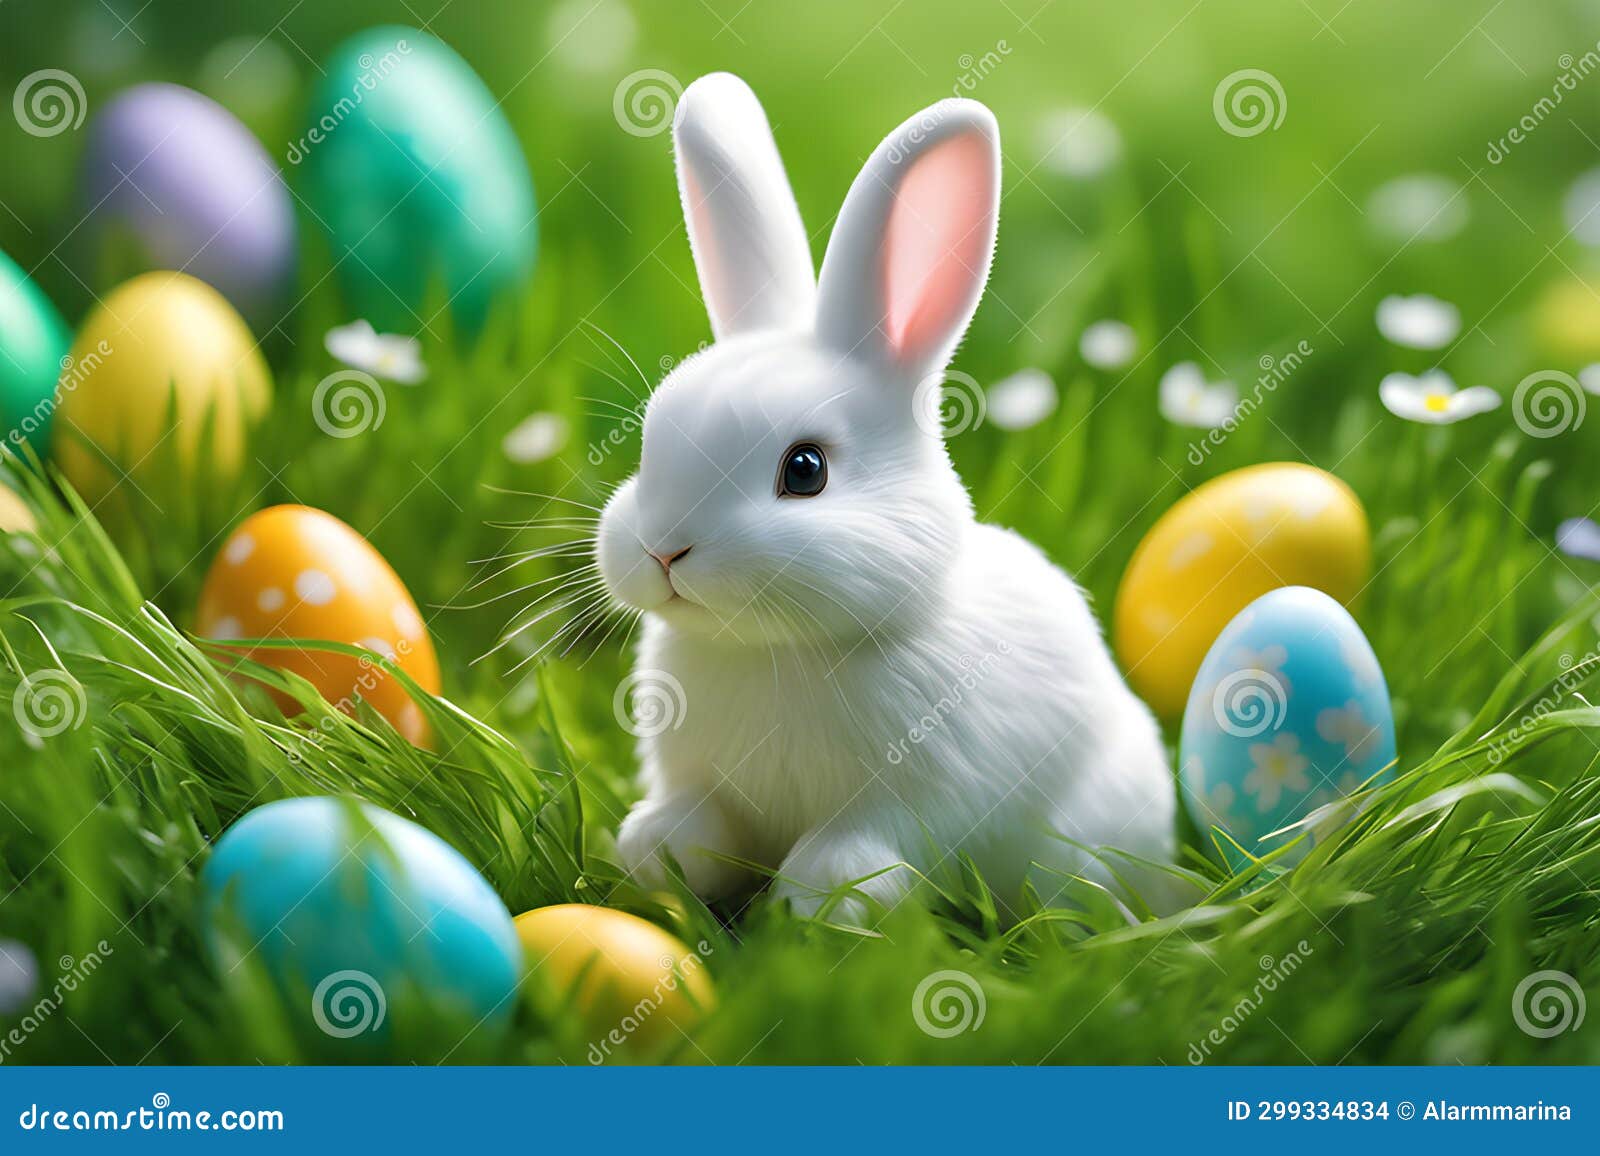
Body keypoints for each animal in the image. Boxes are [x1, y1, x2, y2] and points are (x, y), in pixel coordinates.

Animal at [599, 72, 1178, 925]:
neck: (776, 651)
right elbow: (704, 816)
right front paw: (657, 847)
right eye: (649, 444)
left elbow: (876, 838)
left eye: (805, 470)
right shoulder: (696, 770)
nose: (664, 549)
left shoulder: (932, 789)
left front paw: (823, 897)